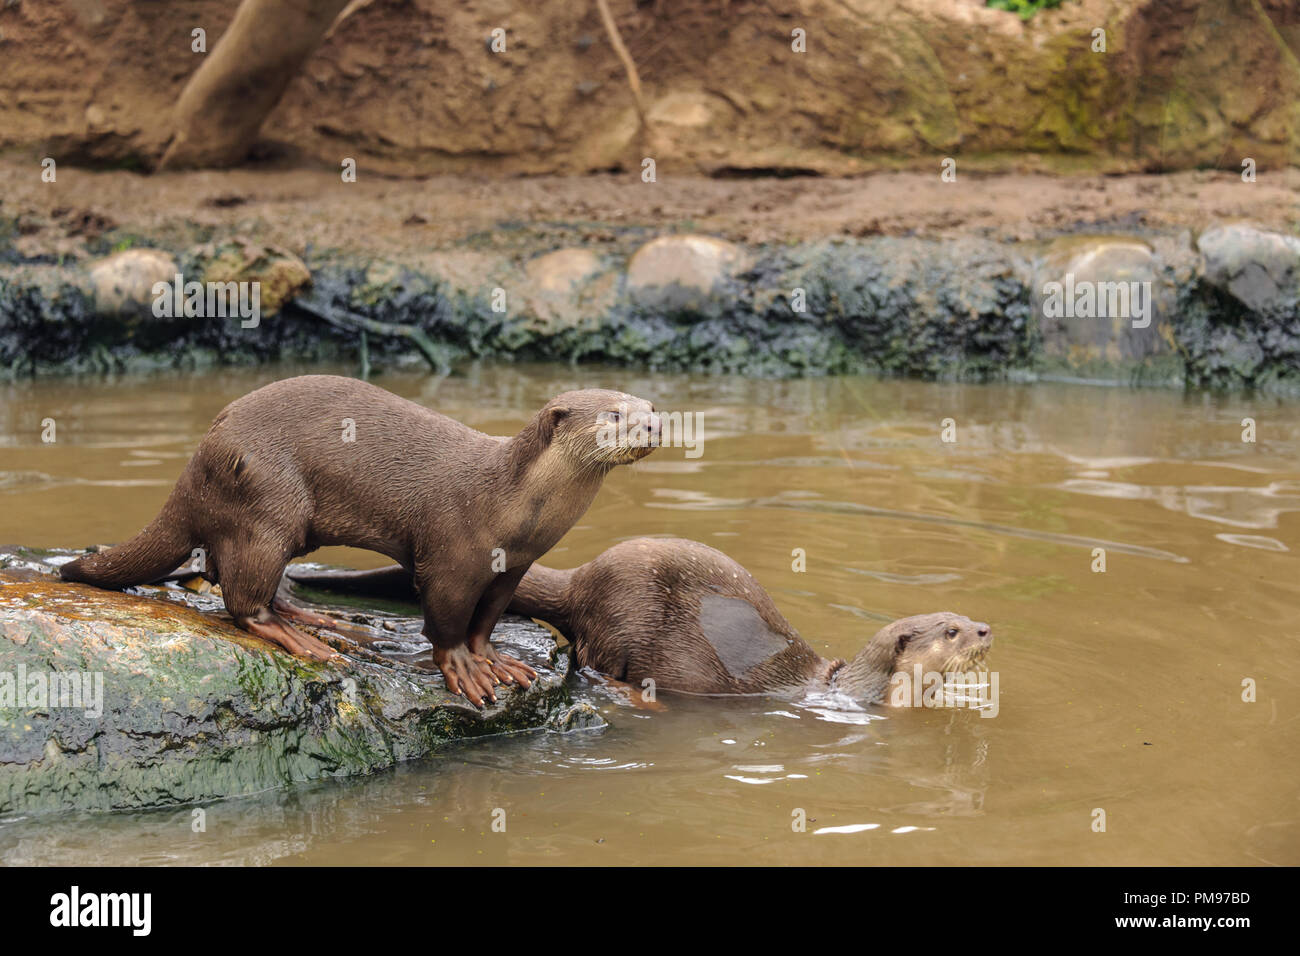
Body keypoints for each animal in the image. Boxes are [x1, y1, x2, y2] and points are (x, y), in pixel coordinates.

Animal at [61, 375, 660, 706]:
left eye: (650, 408)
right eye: (613, 414)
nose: (655, 424)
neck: (516, 504)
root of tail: (199, 461)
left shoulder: (513, 566)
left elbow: (486, 621)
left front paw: (497, 660)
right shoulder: (450, 556)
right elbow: (445, 622)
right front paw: (465, 671)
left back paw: (327, 621)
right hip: (268, 502)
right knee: (242, 600)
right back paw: (306, 640)